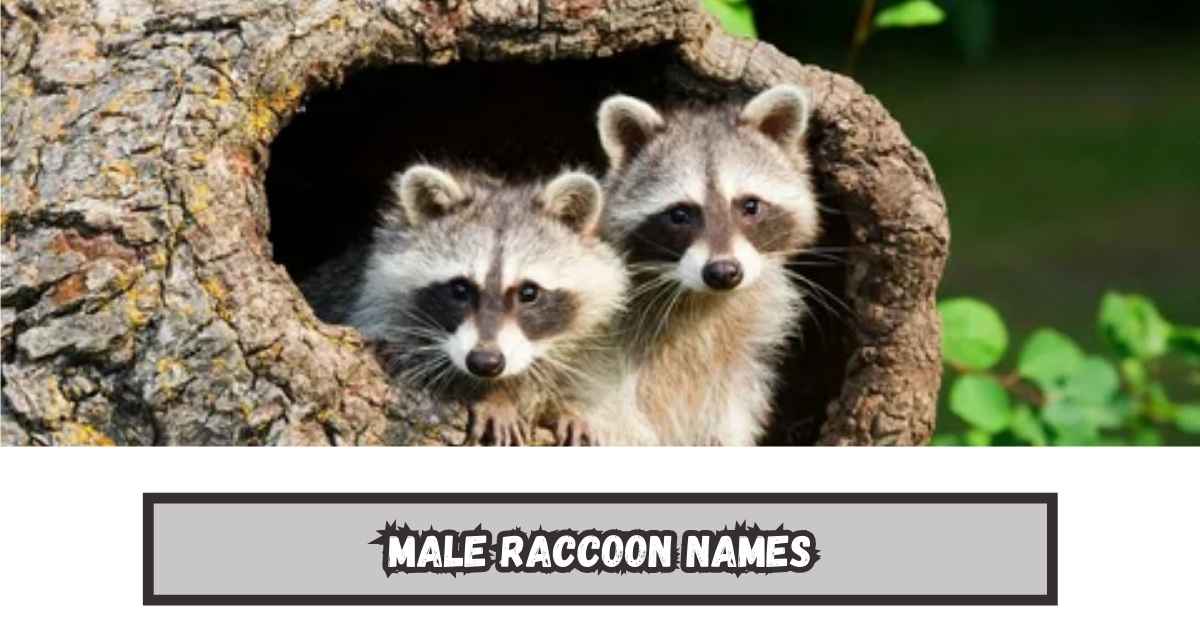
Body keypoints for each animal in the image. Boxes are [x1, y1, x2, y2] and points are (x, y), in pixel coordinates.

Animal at [299, 165, 628, 445]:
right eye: (460, 289)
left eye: (529, 292)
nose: (485, 362)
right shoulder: (374, 311)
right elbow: (412, 364)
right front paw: (492, 395)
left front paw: (573, 406)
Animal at [587, 85, 820, 445]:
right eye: (680, 214)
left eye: (749, 206)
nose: (723, 272)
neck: (704, 300)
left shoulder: (752, 331)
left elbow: (736, 395)